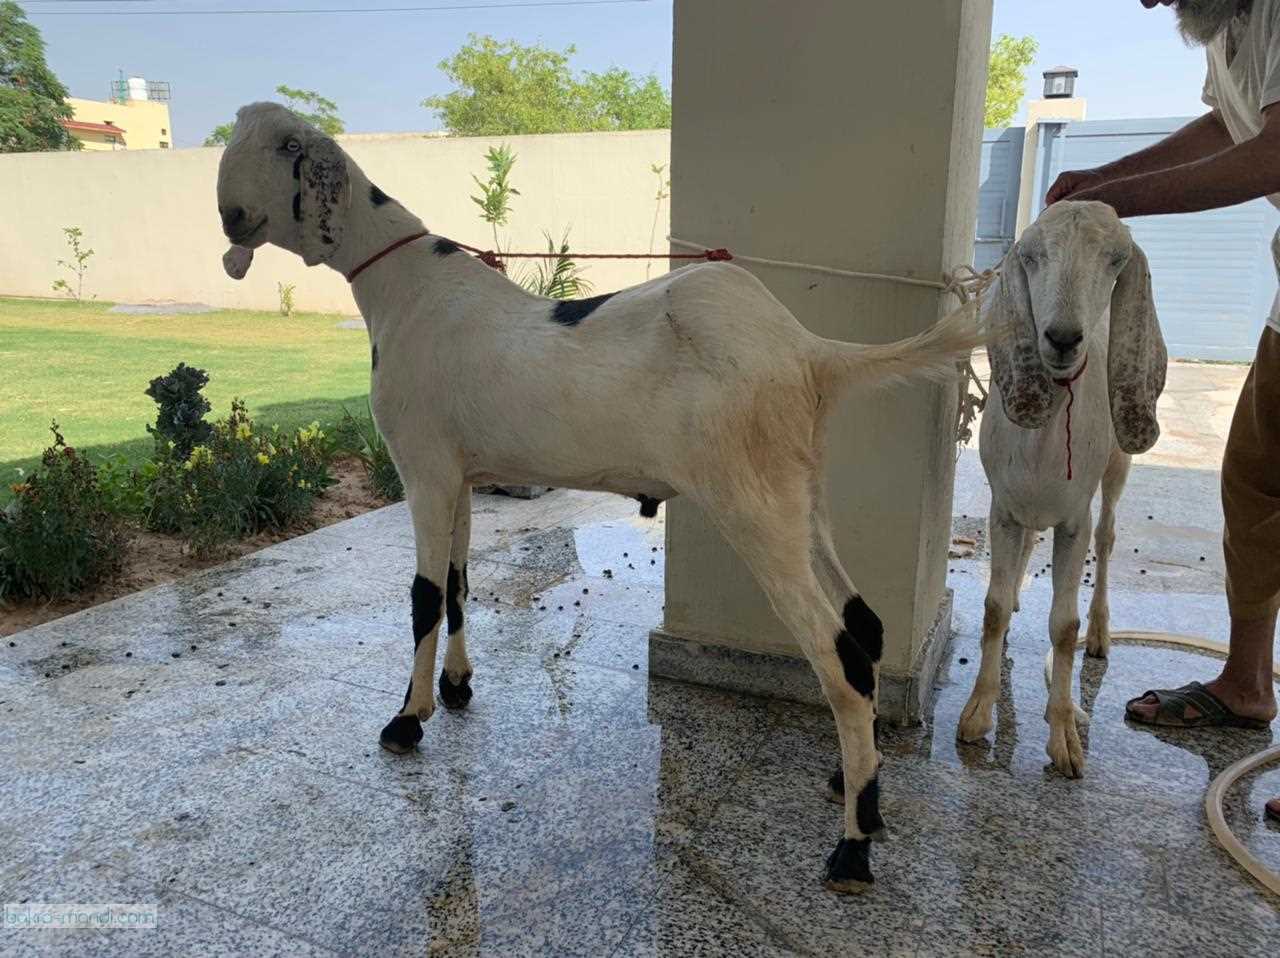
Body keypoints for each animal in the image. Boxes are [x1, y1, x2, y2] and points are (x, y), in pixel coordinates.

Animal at [215, 102, 986, 892]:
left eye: (285, 146)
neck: (409, 288)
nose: (231, 217)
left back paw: (853, 846)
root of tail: (807, 351)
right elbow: (460, 582)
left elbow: (426, 594)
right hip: (801, 496)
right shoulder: (460, 475)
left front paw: (407, 719)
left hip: (755, 506)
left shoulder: (422, 468)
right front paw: (457, 687)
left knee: (842, 661)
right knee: (865, 623)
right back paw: (861, 788)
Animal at [957, 201, 1166, 777]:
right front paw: (977, 716)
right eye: (1030, 256)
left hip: (1115, 471)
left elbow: (1064, 625)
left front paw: (1064, 738)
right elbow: (992, 607)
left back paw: (1101, 634)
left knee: (1109, 539)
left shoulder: (1075, 519)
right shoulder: (1003, 508)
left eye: (1116, 258)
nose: (1063, 338)